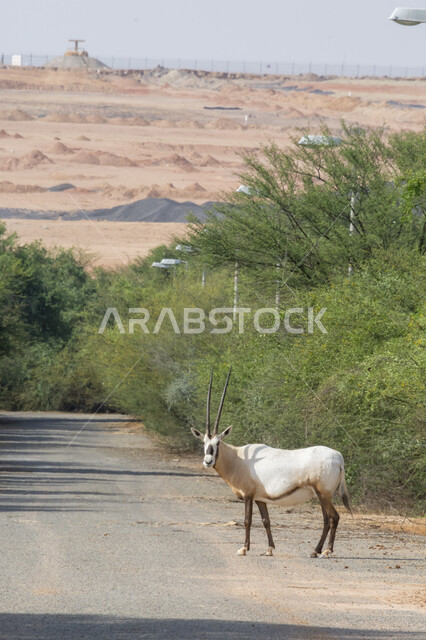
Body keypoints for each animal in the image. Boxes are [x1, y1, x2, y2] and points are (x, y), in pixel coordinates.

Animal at [191, 368, 352, 558]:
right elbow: (265, 520)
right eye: (204, 443)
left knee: (332, 517)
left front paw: (243, 548)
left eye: (218, 443)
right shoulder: (260, 498)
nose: (208, 461)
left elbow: (247, 520)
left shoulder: (248, 495)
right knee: (329, 518)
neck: (238, 458)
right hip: (323, 494)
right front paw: (269, 549)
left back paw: (322, 550)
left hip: (323, 493)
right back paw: (320, 550)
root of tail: (339, 458)